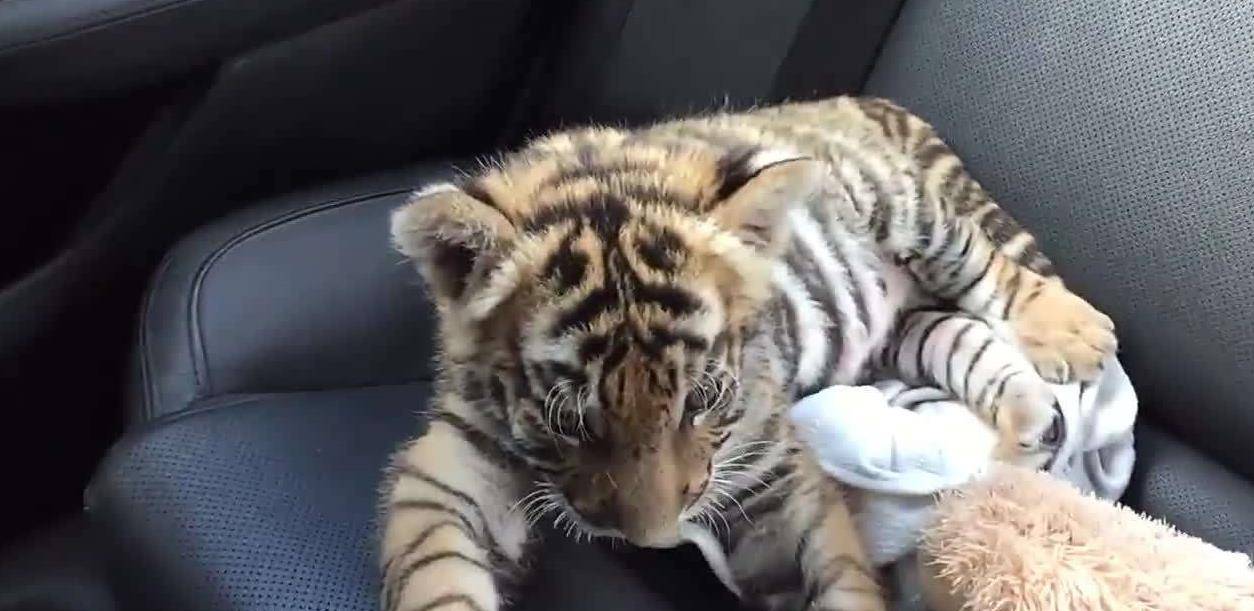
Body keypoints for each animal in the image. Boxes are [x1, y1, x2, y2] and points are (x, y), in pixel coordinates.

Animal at [379, 96, 1115, 611]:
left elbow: (839, 575)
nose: (655, 540)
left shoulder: (775, 471)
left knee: (982, 263)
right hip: (908, 329)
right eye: (571, 421)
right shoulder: (451, 467)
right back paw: (1029, 426)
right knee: (964, 334)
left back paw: (1077, 332)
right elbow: (434, 569)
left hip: (898, 204)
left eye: (700, 401)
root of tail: (853, 100)